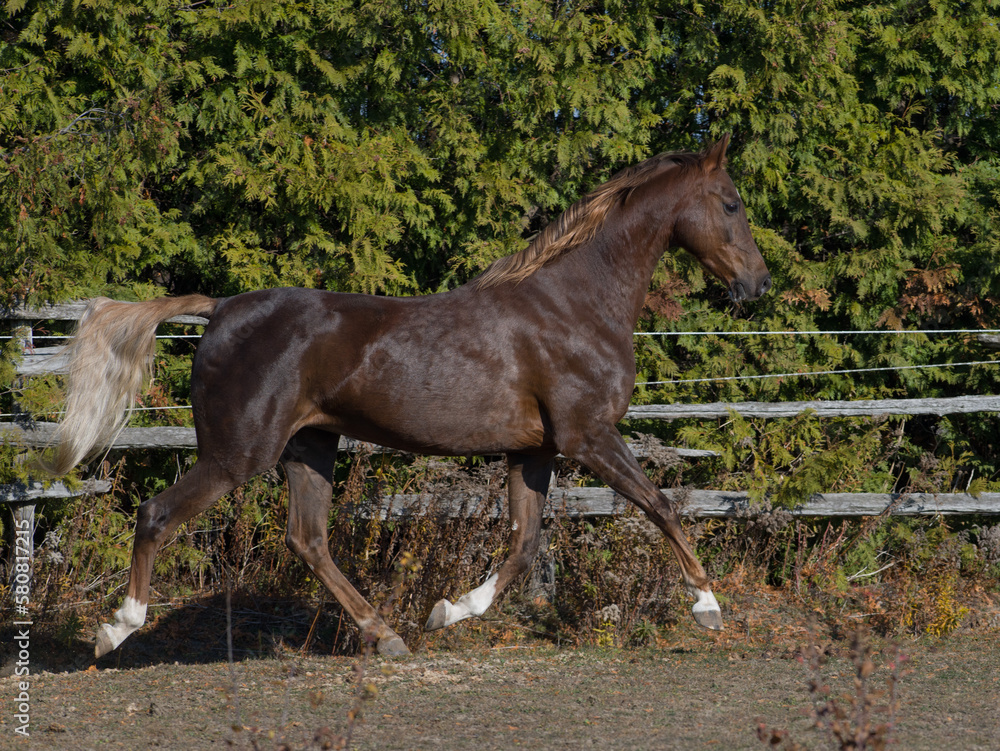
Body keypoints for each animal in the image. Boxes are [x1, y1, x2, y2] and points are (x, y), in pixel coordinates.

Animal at [44, 134, 770, 658]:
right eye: (731, 203)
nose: (757, 286)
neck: (575, 306)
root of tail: (221, 309)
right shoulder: (588, 436)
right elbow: (660, 505)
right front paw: (708, 608)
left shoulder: (533, 451)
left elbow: (524, 543)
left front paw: (448, 611)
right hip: (238, 455)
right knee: (157, 515)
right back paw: (116, 629)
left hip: (310, 445)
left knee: (308, 539)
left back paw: (388, 635)